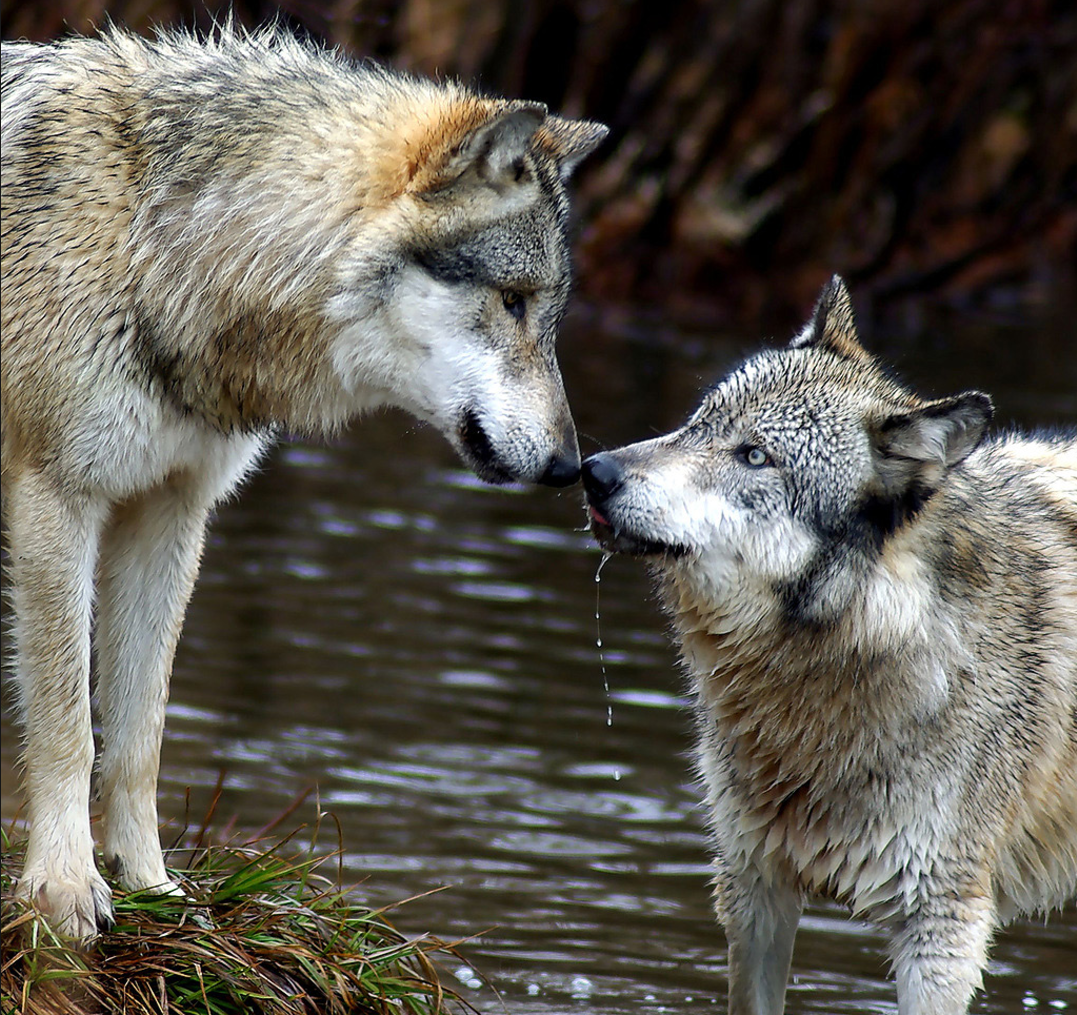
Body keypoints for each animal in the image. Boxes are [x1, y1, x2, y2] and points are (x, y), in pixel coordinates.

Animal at [0, 23, 606, 940]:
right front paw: (65, 890)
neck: (157, 239)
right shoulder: (56, 499)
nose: (572, 467)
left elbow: (140, 733)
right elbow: (71, 724)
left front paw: (152, 886)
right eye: (511, 301)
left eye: (549, 312)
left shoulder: (171, 511)